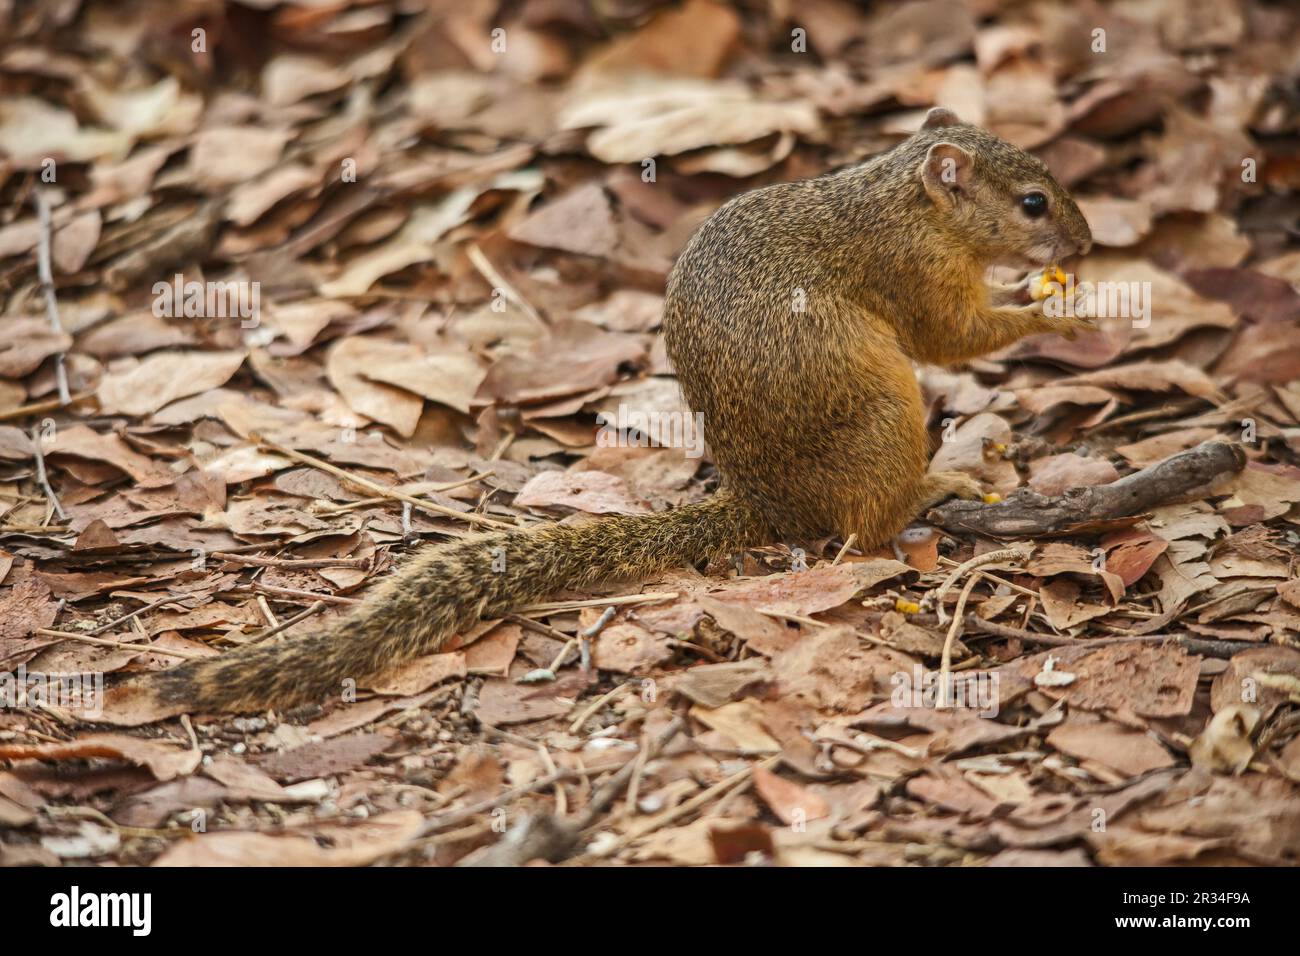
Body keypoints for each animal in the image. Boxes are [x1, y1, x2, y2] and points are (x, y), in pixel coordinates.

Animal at [123, 108, 1093, 717]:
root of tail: (768, 505)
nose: (1087, 246)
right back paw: (933, 487)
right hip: (886, 416)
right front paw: (1059, 310)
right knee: (869, 519)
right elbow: (952, 337)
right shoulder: (914, 270)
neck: (898, 200)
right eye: (1033, 203)